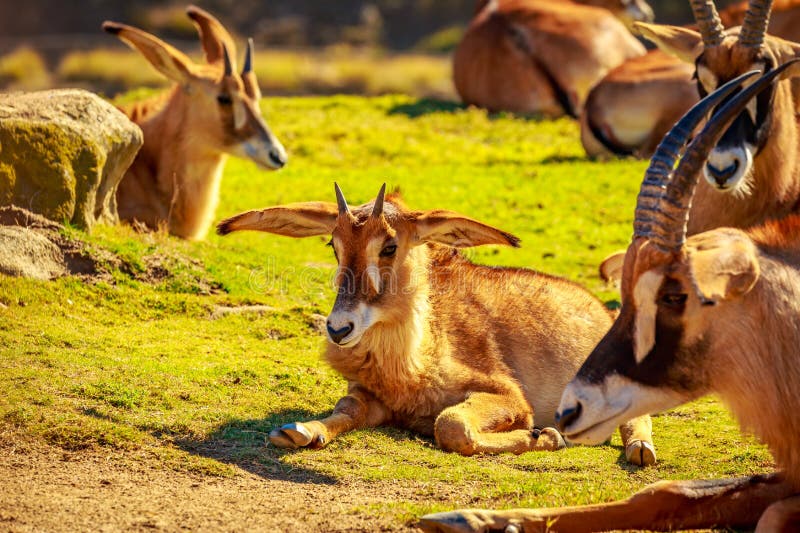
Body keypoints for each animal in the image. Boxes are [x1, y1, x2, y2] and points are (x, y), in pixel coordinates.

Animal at [217, 185, 655, 465]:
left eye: (390, 245)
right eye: (333, 245)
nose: (340, 329)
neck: (416, 361)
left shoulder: (508, 395)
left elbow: (451, 425)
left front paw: (544, 436)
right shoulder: (374, 399)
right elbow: (345, 408)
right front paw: (304, 430)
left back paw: (640, 450)